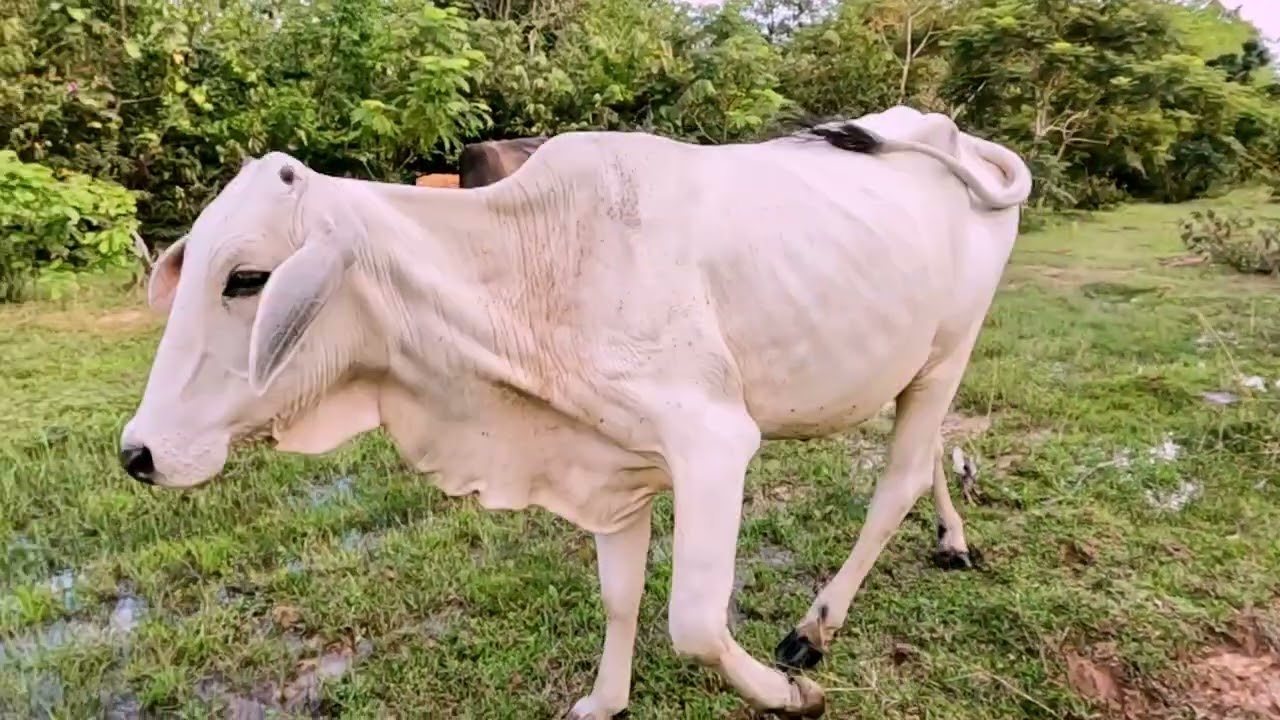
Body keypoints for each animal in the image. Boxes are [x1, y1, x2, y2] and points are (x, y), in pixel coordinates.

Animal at [118, 105, 1032, 718]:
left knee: (897, 480)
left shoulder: (713, 442)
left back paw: (817, 629)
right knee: (930, 454)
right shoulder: (610, 465)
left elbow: (694, 620)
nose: (139, 454)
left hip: (950, 350)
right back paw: (952, 540)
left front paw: (789, 691)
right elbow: (620, 598)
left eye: (245, 279)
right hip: (912, 365)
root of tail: (954, 132)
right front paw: (606, 699)